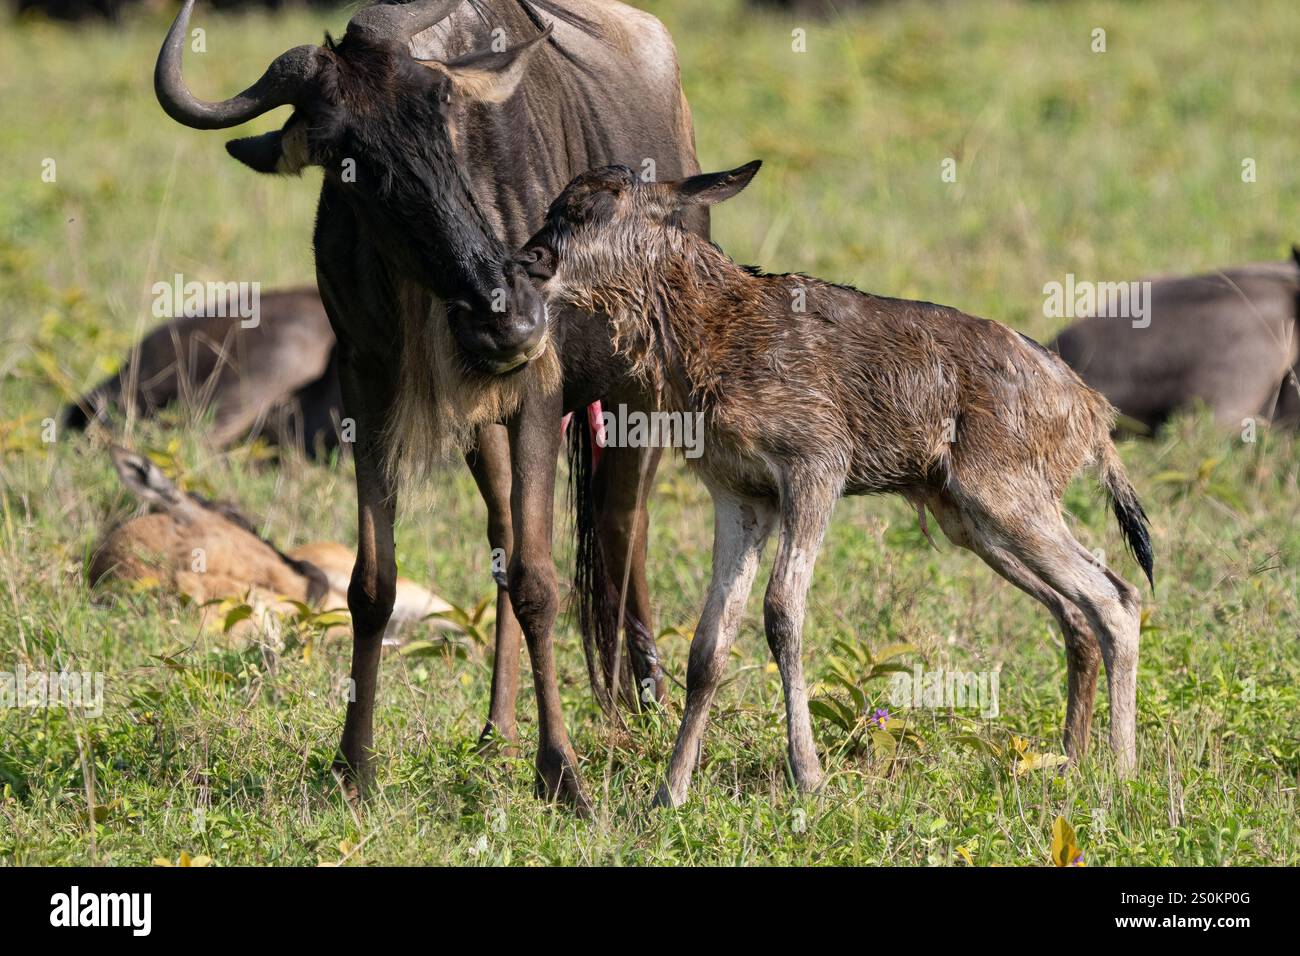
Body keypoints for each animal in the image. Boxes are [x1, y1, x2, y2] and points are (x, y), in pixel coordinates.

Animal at [517, 162, 1156, 806]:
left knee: (1117, 597)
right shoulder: (737, 491)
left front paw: (809, 776)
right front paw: (669, 792)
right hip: (970, 514)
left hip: (1004, 491)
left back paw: (1122, 771)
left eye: (602, 205)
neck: (709, 340)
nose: (529, 257)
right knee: (1079, 609)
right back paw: (1071, 760)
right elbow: (708, 644)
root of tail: (1092, 413)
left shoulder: (817, 461)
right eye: (555, 205)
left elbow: (781, 613)